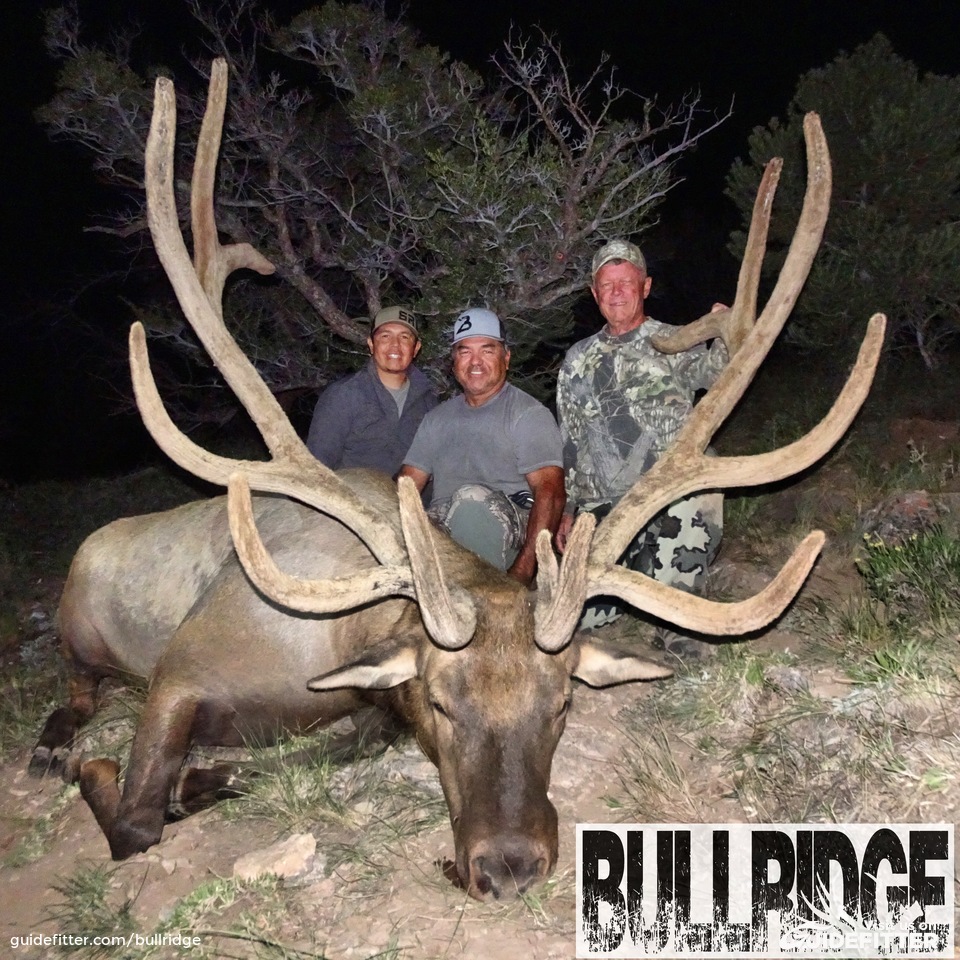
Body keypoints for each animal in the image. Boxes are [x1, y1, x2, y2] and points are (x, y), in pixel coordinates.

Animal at [30, 60, 885, 901]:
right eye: (443, 701)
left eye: (562, 701)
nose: (508, 866)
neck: (335, 632)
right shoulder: (181, 668)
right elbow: (135, 816)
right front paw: (111, 770)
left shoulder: (358, 699)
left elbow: (327, 749)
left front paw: (205, 779)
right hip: (78, 622)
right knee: (75, 686)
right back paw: (53, 745)